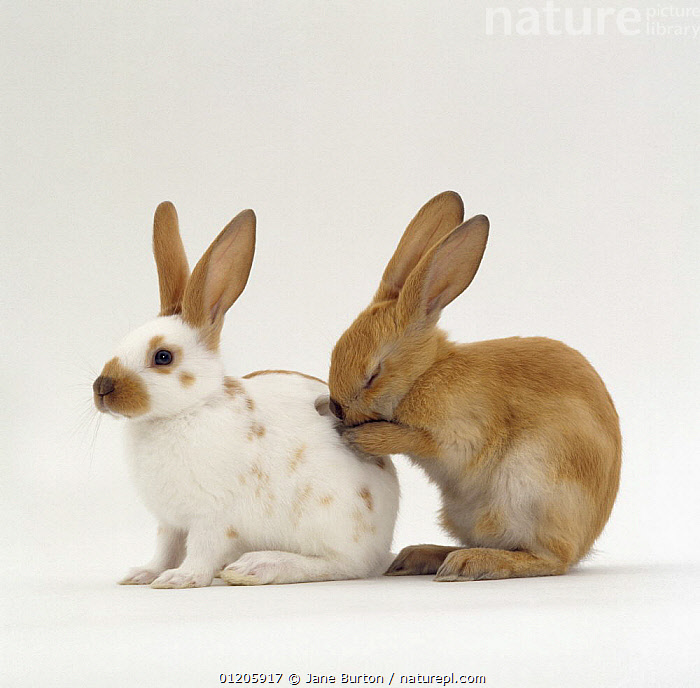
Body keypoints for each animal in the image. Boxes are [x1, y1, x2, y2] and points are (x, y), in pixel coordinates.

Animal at [92, 202, 398, 588]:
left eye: (163, 357)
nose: (101, 388)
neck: (186, 411)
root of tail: (383, 544)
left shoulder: (212, 516)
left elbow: (201, 550)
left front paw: (181, 579)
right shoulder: (170, 521)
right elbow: (164, 549)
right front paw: (143, 574)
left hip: (332, 522)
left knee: (342, 565)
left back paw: (256, 566)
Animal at [327, 191, 621, 582]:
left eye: (374, 374)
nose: (335, 406)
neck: (425, 373)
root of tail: (585, 542)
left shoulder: (461, 431)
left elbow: (421, 440)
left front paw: (366, 438)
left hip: (529, 488)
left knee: (549, 559)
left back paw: (470, 564)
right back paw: (420, 557)